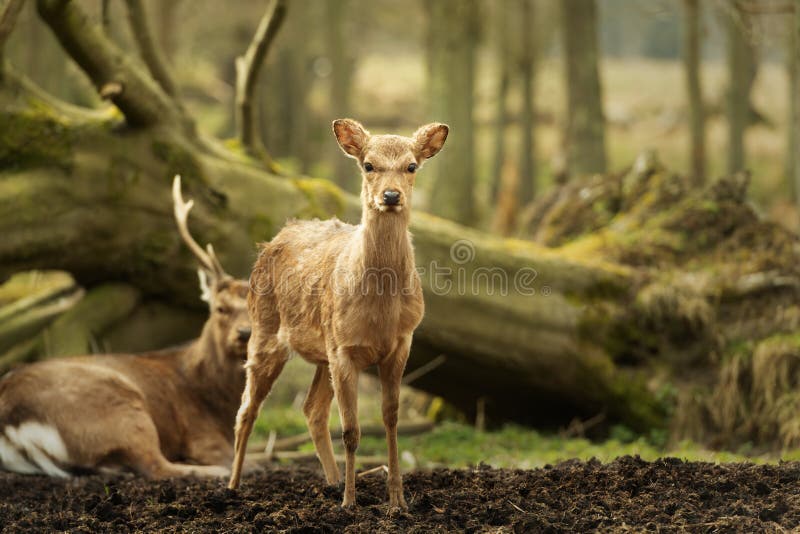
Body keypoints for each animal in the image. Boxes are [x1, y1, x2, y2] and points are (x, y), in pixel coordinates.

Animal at [0, 176, 251, 479]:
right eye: (220, 308)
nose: (245, 333)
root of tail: (10, 423)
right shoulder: (201, 434)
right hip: (118, 406)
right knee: (155, 464)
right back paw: (214, 471)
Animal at [228, 119, 448, 510]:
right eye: (368, 165)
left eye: (412, 166)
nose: (390, 196)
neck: (380, 309)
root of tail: (275, 237)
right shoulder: (343, 348)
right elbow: (350, 430)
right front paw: (349, 503)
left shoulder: (401, 343)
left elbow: (390, 421)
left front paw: (398, 501)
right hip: (265, 329)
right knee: (246, 410)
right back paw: (233, 487)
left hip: (320, 353)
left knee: (312, 410)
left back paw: (330, 482)